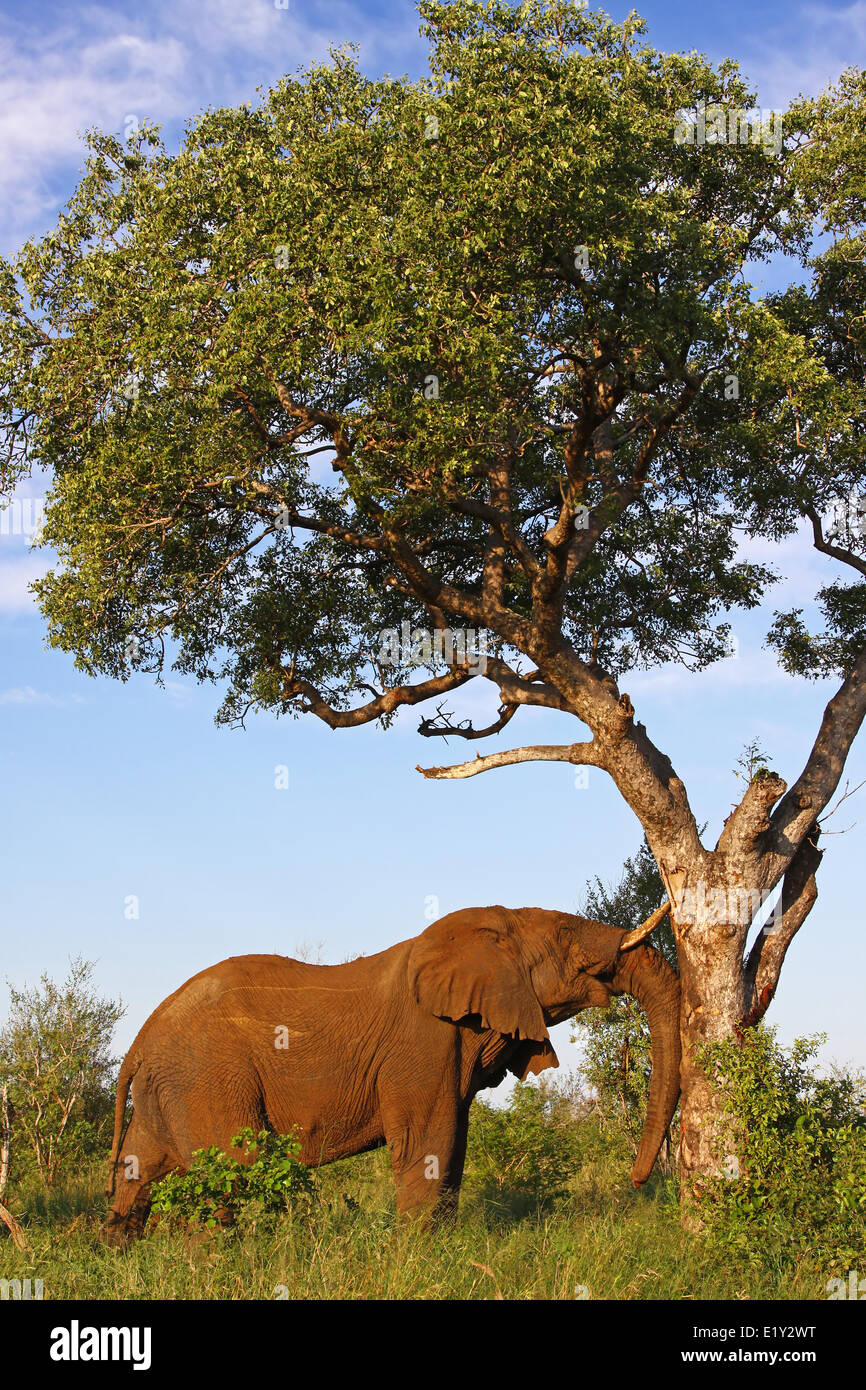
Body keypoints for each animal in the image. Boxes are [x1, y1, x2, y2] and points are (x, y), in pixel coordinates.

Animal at [102, 901, 679, 1243]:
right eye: (564, 933)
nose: (636, 1181)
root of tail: (139, 1040)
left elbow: (455, 1146)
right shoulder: (422, 1042)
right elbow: (430, 1142)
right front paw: (420, 1256)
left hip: (169, 1088)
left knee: (140, 1171)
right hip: (207, 1077)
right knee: (232, 1172)